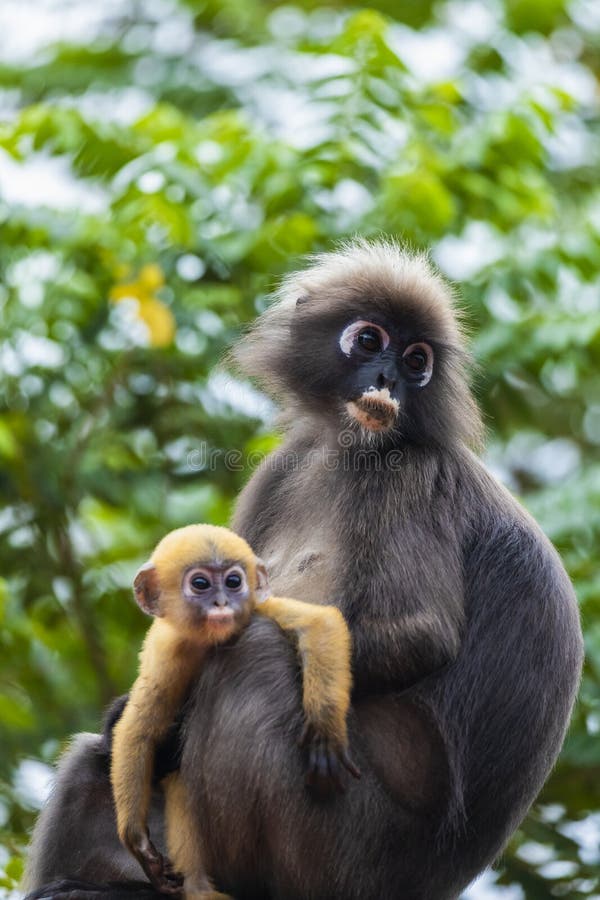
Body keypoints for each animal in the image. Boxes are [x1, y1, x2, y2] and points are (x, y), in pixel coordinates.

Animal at [109, 524, 359, 900]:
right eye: (200, 583)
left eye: (233, 581)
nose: (222, 603)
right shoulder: (169, 650)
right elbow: (140, 729)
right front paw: (138, 843)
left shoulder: (256, 611)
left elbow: (320, 623)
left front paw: (324, 731)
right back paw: (198, 886)